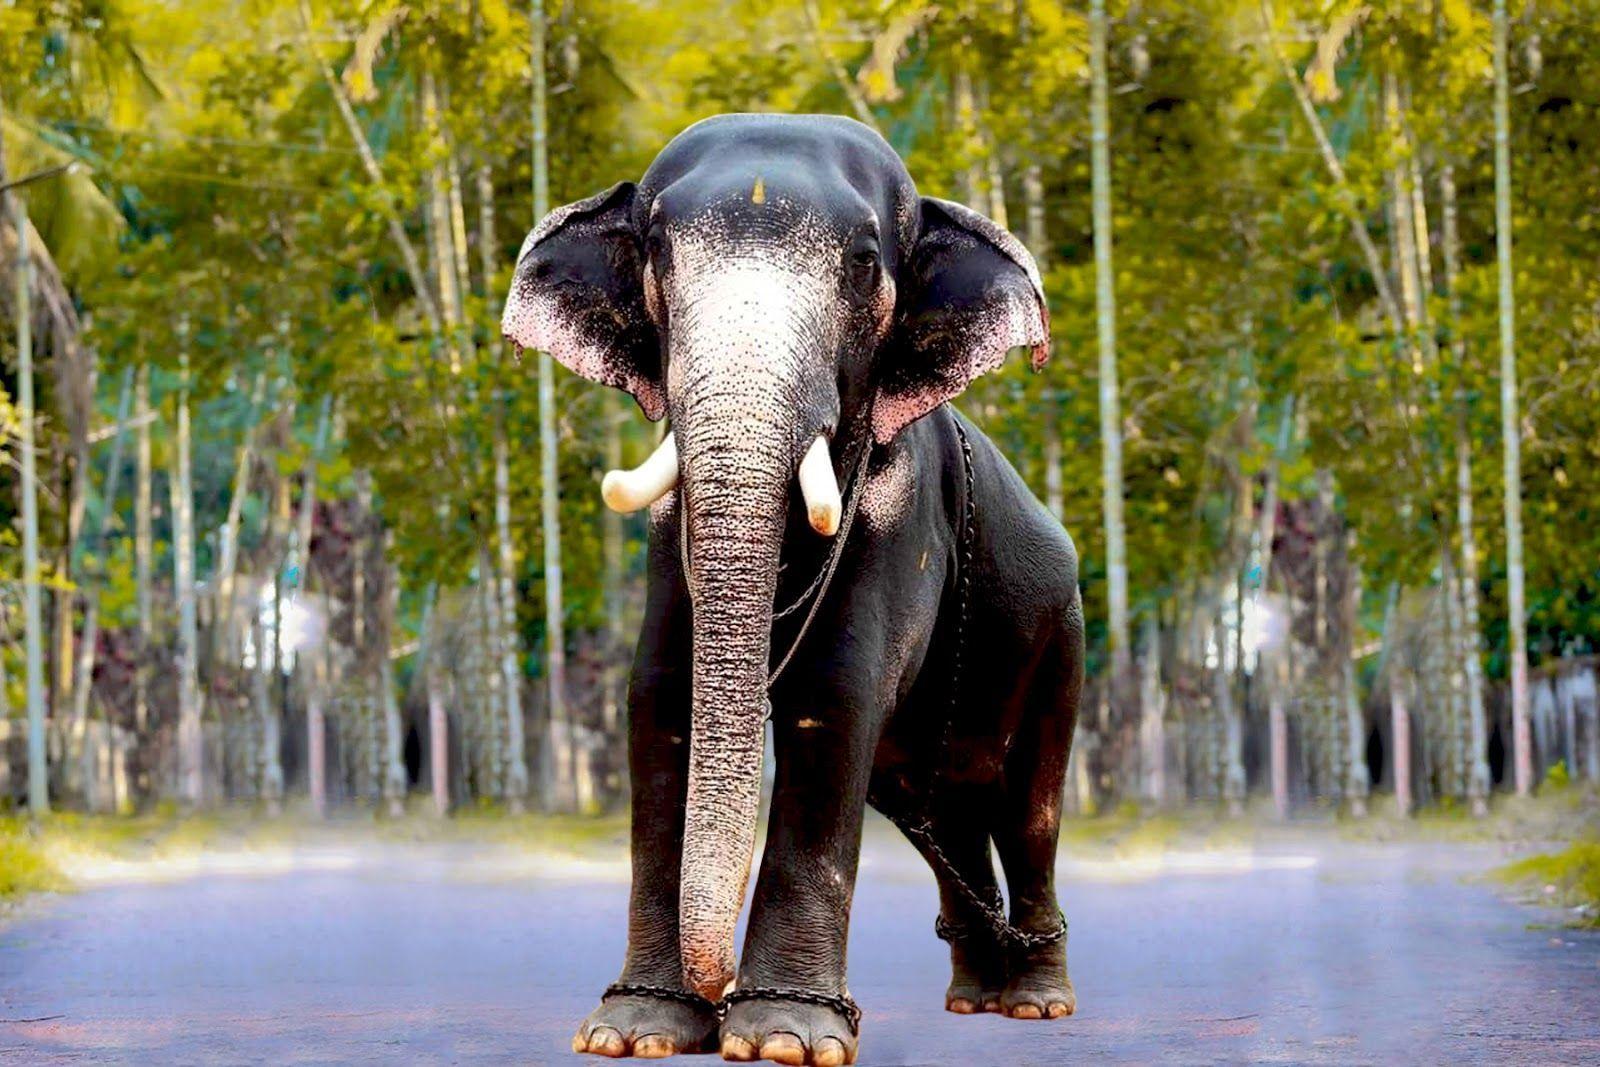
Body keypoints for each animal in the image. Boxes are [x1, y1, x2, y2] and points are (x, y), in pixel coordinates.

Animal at [502, 113, 1083, 1065]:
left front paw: (783, 1037)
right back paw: (971, 996)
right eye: (658, 252)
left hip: (1059, 638)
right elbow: (658, 700)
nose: (718, 989)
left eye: (863, 262)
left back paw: (1035, 1003)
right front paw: (636, 1030)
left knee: (1027, 809)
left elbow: (834, 700)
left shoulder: (900, 514)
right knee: (940, 816)